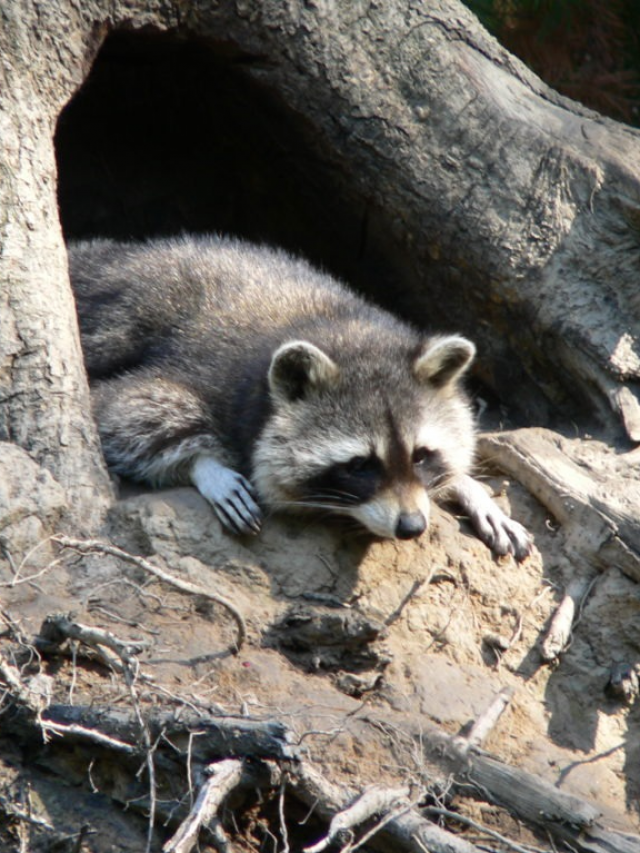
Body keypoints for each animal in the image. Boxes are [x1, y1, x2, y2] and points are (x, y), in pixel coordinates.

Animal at [69, 234, 531, 559]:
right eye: (359, 465)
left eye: (421, 456)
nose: (412, 526)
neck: (338, 326)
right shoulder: (204, 372)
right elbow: (118, 408)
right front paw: (205, 464)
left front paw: (468, 487)